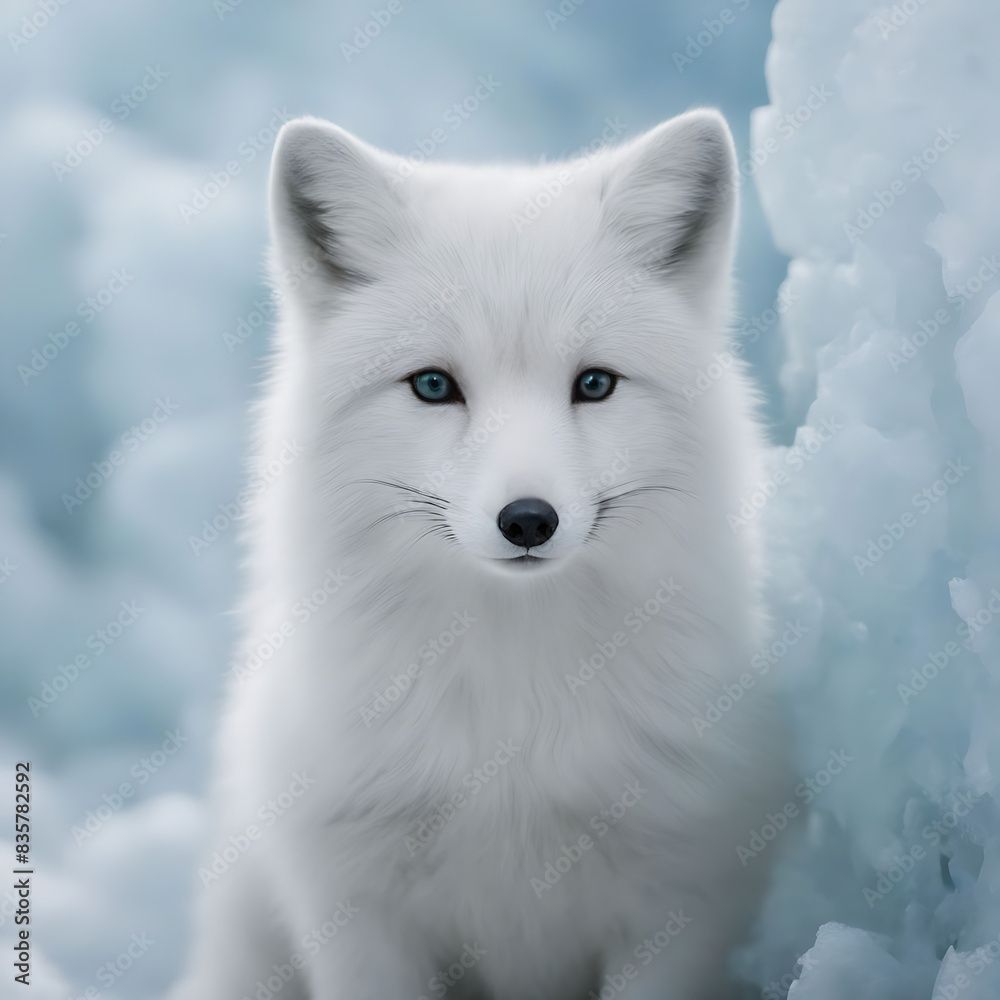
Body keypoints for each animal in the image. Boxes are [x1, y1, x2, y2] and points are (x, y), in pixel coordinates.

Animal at [170, 108, 791, 1000]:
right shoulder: (355, 908)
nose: (527, 520)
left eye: (594, 384)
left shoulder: (681, 894)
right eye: (434, 386)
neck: (515, 718)